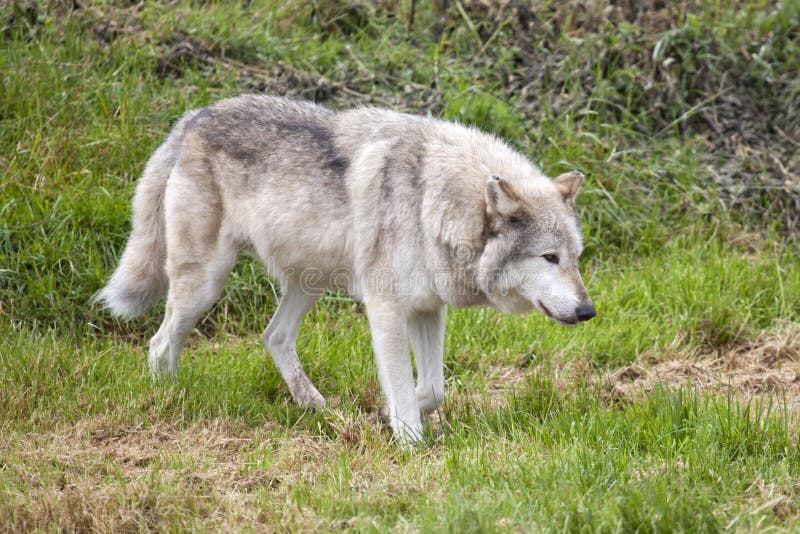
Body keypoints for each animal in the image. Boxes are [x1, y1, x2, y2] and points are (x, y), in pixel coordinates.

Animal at [97, 95, 595, 445]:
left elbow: (433, 389)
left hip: (308, 285)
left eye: (575, 258)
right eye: (549, 258)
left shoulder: (428, 311)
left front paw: (382, 416)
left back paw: (316, 407)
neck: (433, 200)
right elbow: (404, 386)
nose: (588, 312)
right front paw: (410, 445)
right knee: (160, 344)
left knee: (273, 336)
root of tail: (193, 118)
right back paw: (170, 401)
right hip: (206, 283)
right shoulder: (386, 310)